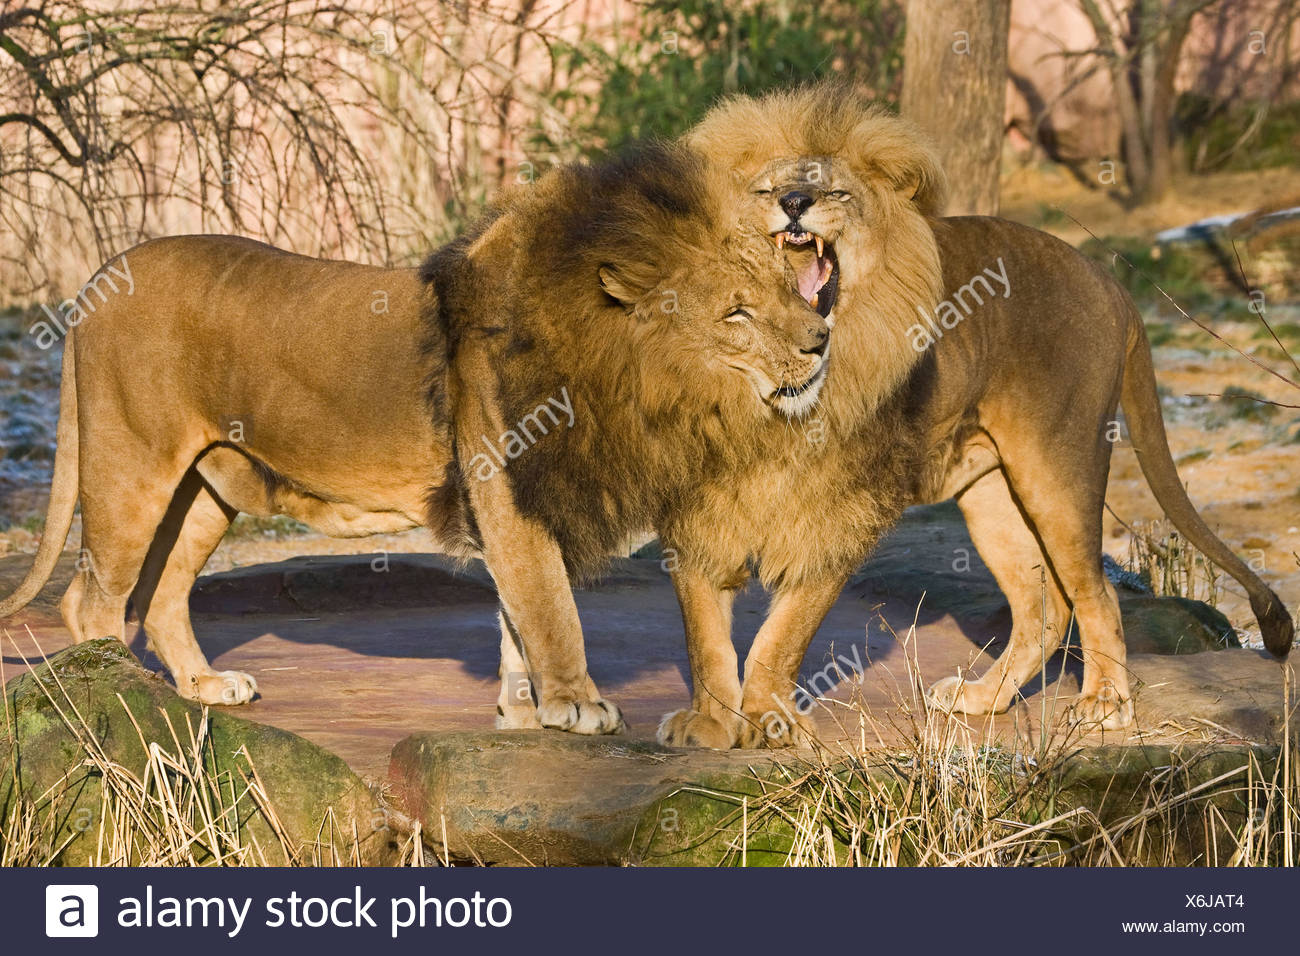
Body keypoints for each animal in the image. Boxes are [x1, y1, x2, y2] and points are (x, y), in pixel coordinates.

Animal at [0, 142, 828, 738]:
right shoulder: (508, 484)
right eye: (736, 312)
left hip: (209, 485)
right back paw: (125, 698)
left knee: (164, 592)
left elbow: (517, 614)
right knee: (92, 601)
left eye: (788, 287)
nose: (822, 340)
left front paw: (521, 711)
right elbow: (550, 607)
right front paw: (577, 704)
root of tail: (99, 280)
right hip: (131, 469)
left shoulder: (509, 502)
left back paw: (202, 687)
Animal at [665, 83, 1294, 741]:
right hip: (990, 493)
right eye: (767, 190)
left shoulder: (845, 507)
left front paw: (764, 716)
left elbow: (785, 633)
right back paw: (982, 698)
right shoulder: (694, 500)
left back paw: (1103, 703)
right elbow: (703, 630)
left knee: (1096, 592)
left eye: (834, 192)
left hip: (1058, 471)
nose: (793, 202)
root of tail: (1112, 283)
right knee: (1045, 606)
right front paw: (707, 722)